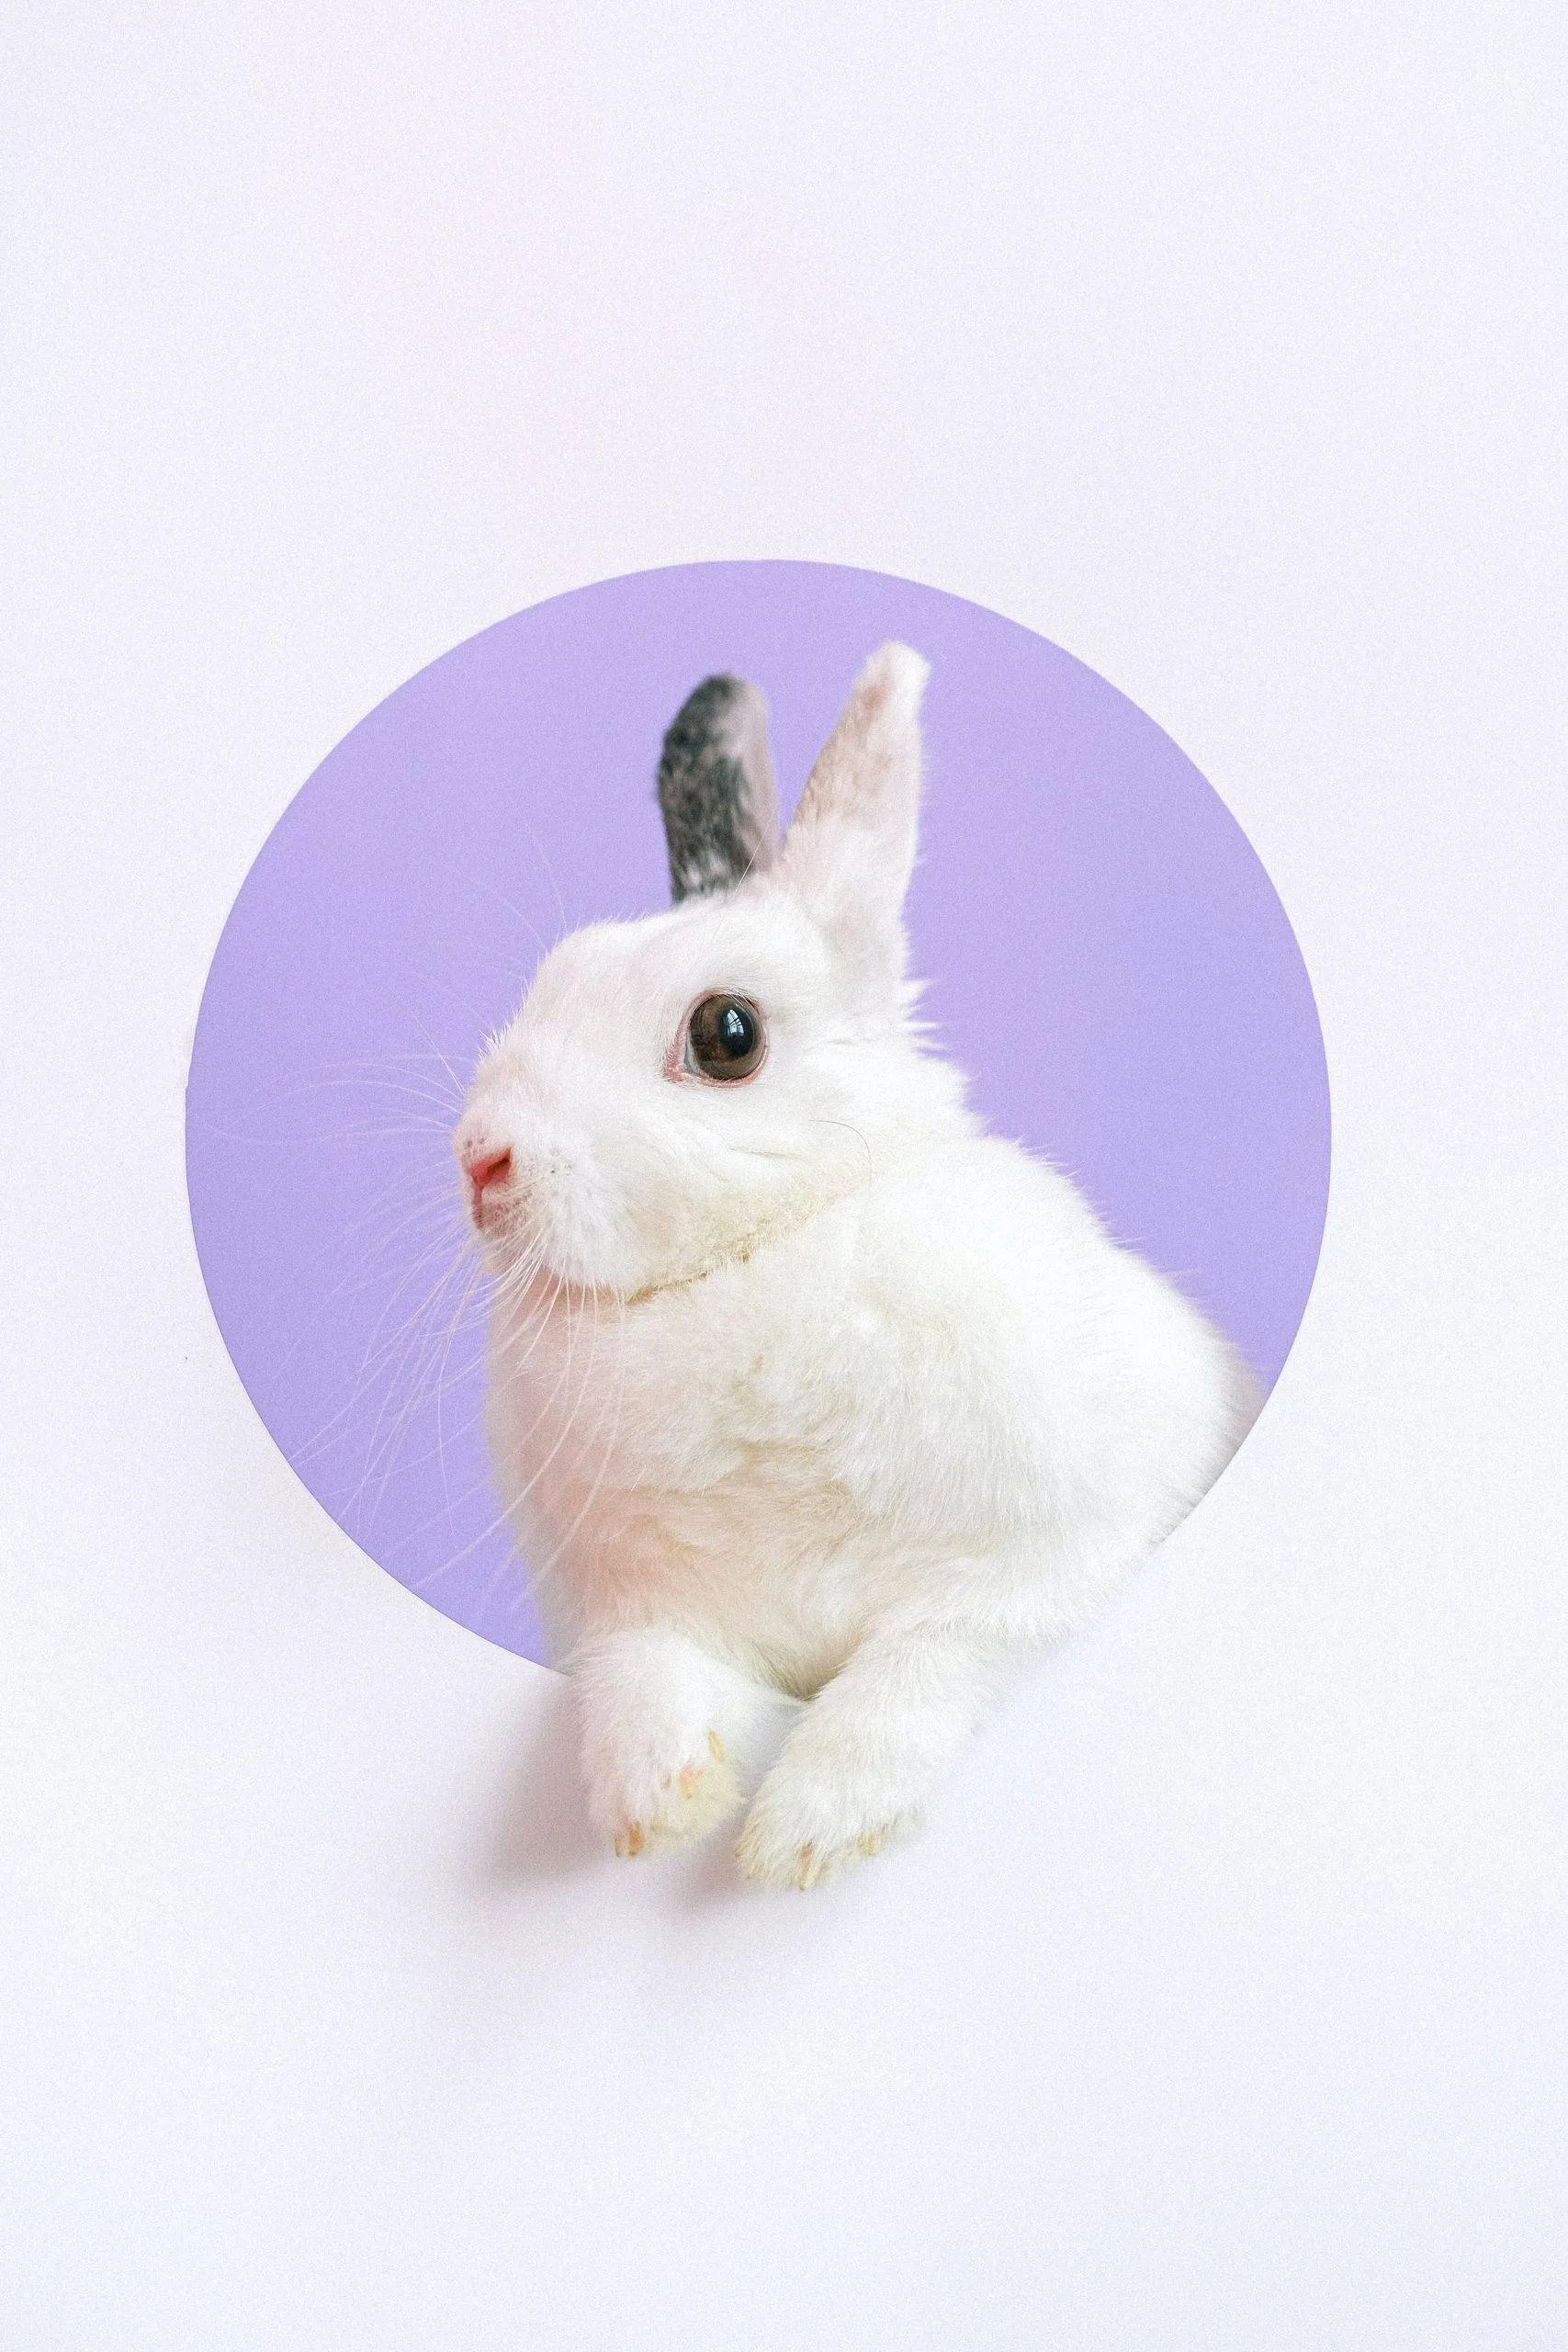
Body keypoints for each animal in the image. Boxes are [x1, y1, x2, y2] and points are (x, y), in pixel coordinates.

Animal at [453, 644, 1261, 1889]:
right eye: (556, 975)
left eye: (727, 1035)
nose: (480, 1158)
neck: (757, 1257)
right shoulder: (633, 1609)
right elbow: (645, 1675)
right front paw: (655, 1803)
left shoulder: (1050, 1561)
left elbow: (919, 1668)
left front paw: (808, 1830)